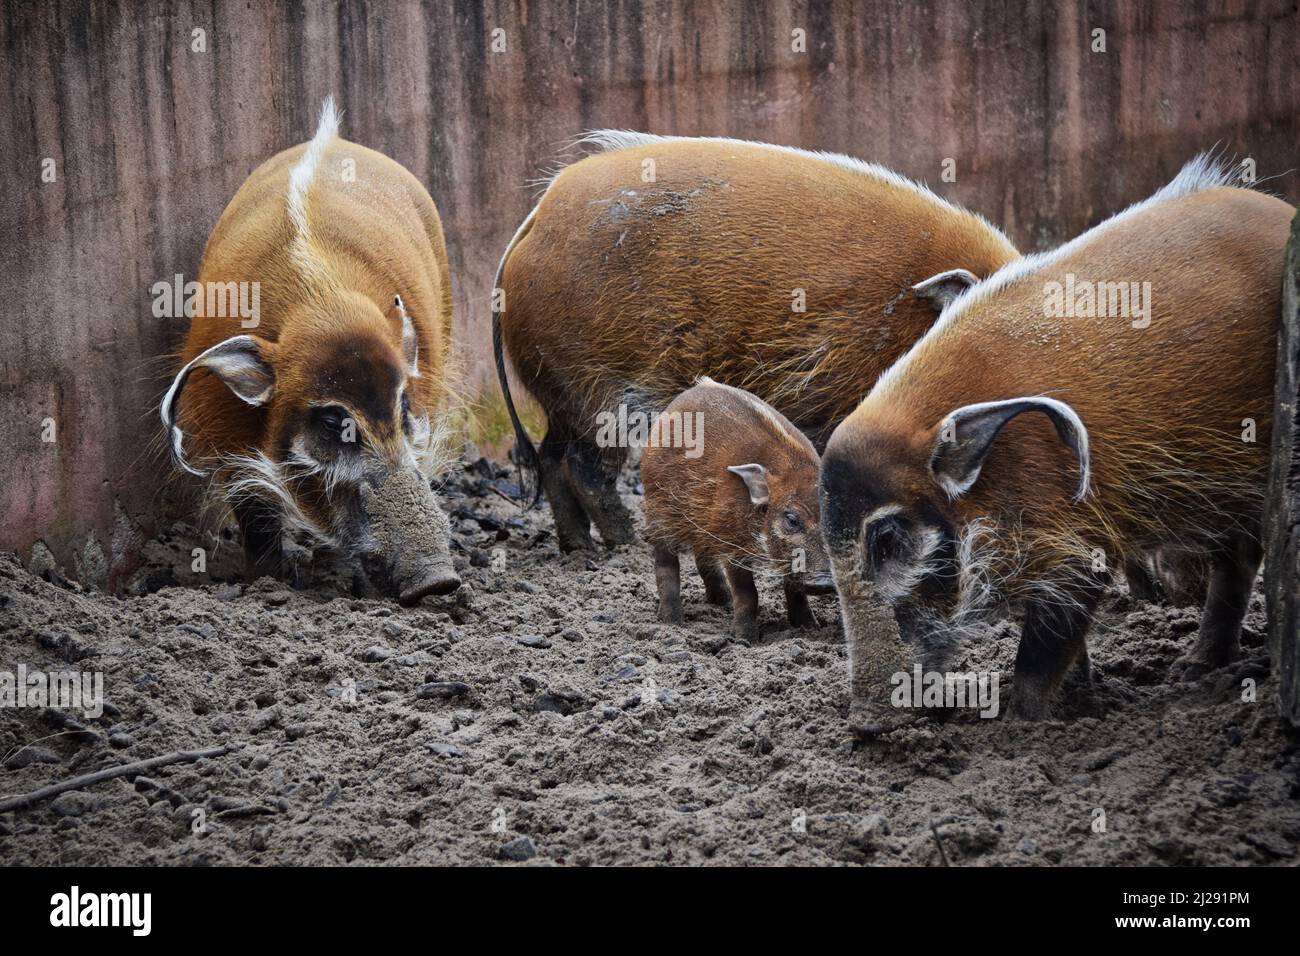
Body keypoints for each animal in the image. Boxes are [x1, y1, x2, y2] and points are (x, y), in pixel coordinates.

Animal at [159, 98, 460, 603]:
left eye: (403, 408)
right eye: (335, 421)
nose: (437, 579)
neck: (323, 303)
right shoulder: (230, 438)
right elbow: (256, 514)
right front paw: (269, 583)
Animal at [493, 132, 1019, 551]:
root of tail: (535, 219)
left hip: (560, 394)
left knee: (550, 458)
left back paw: (579, 548)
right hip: (596, 390)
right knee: (585, 468)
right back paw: (625, 547)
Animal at [642, 378, 834, 642]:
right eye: (792, 519)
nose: (825, 582)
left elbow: (794, 588)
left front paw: (809, 627)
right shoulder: (731, 543)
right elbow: (748, 593)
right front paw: (745, 639)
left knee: (704, 559)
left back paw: (721, 602)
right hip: (659, 509)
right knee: (666, 564)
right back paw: (671, 621)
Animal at [819, 155, 1293, 720]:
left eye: (887, 539)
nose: (864, 724)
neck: (999, 467)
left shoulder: (1078, 544)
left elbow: (1044, 650)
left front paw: (1025, 722)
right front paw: (1080, 699)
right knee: (1238, 555)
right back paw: (1194, 667)